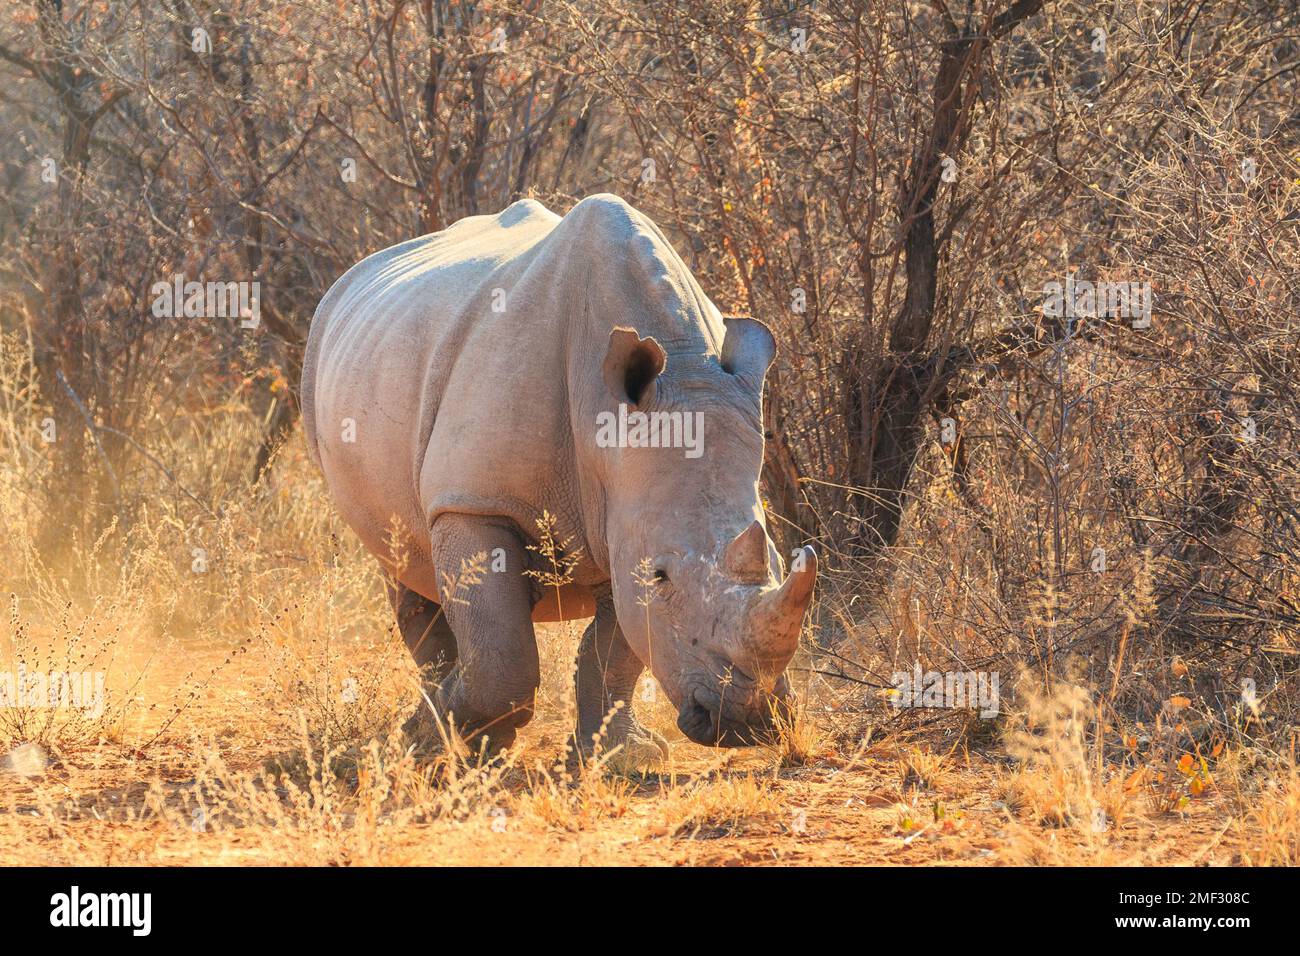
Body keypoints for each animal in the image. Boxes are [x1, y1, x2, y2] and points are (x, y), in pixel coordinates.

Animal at [301, 194, 816, 758]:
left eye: (778, 561)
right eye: (661, 577)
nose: (747, 719)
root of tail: (349, 279)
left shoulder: (624, 511)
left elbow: (613, 651)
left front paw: (620, 754)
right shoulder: (475, 501)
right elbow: (501, 653)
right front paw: (466, 737)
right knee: (398, 563)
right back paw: (426, 727)